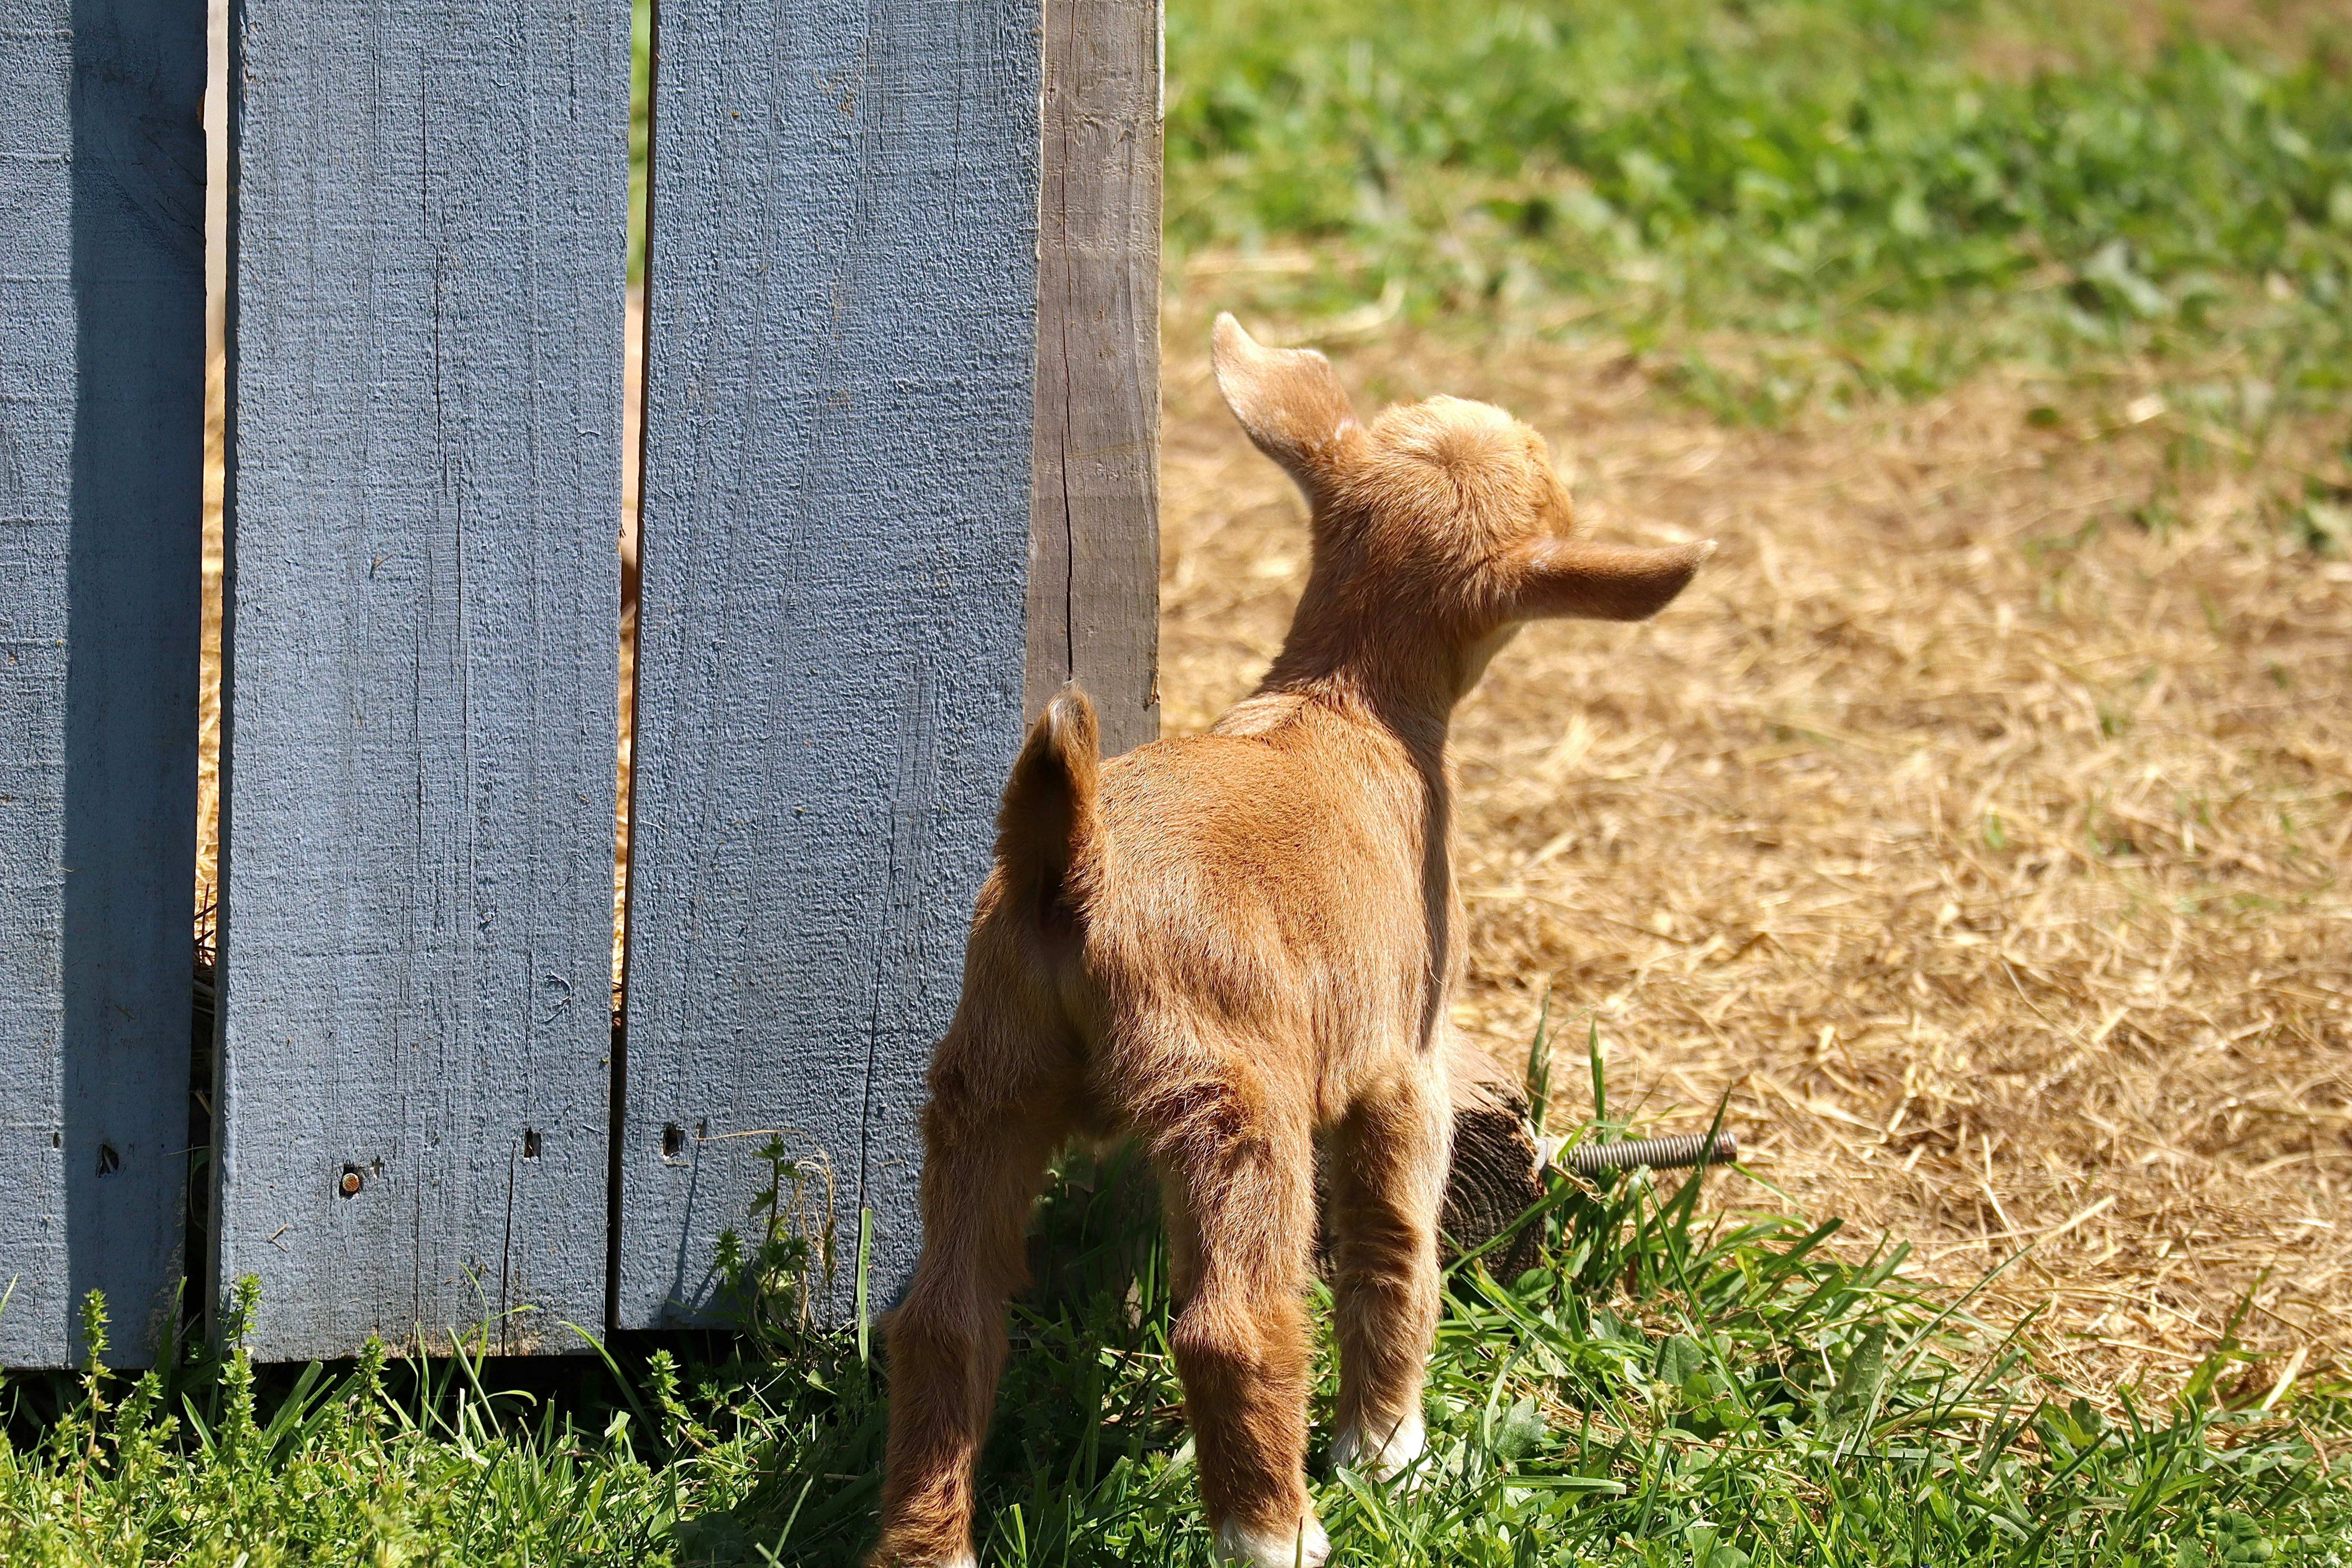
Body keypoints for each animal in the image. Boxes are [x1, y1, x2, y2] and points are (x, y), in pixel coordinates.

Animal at [870, 316, 1711, 1567]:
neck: (1344, 701)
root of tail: (1071, 862)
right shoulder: (1402, 1064)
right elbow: (1395, 1249)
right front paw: (1390, 1449)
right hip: (1236, 1095)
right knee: (1233, 1325)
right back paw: (1279, 1532)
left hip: (990, 1074)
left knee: (946, 1323)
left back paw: (932, 1542)